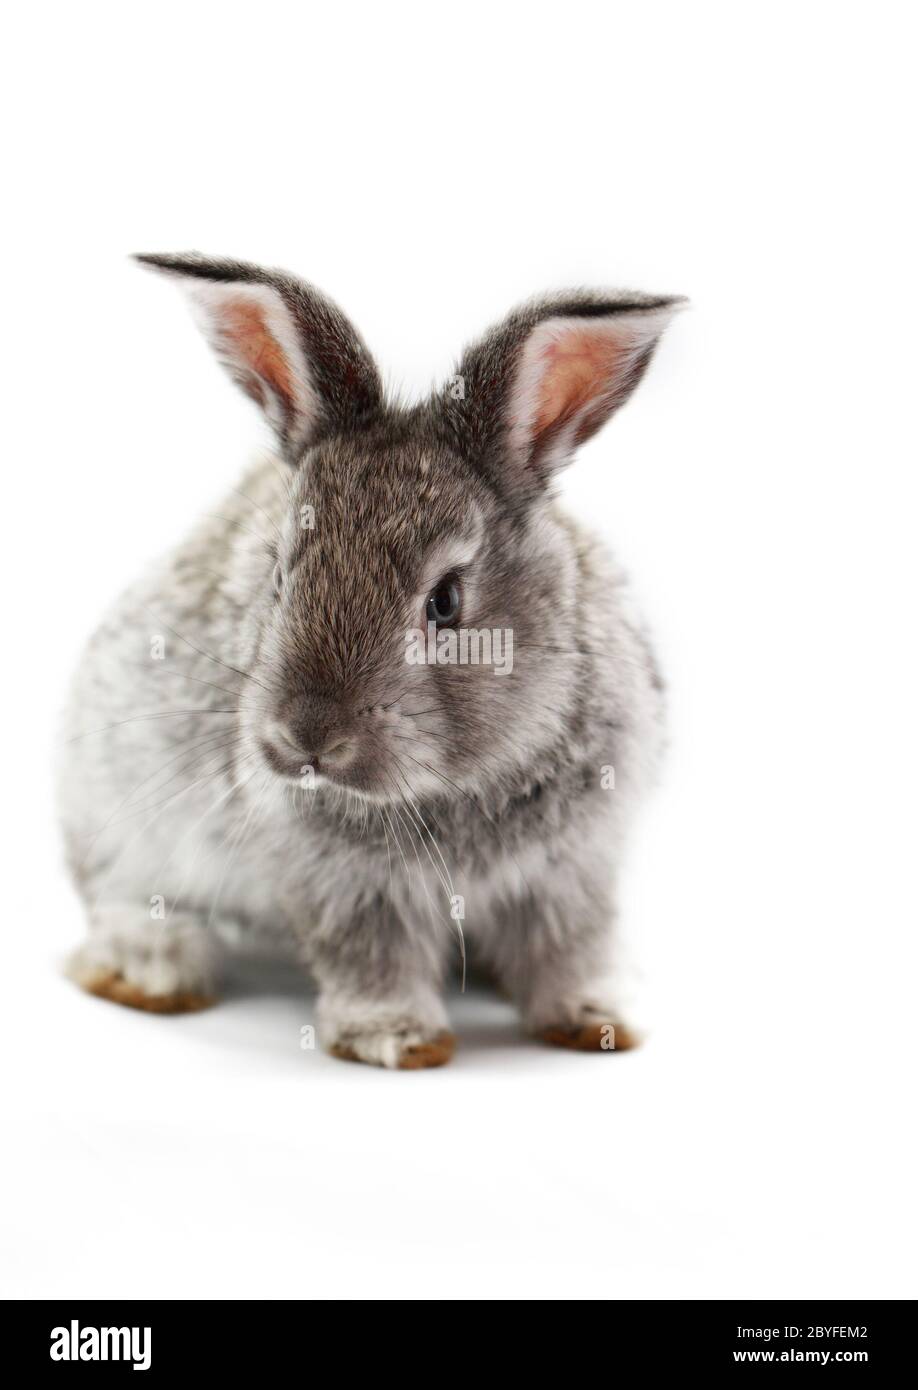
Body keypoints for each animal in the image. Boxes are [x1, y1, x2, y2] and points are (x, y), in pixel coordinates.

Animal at [58, 253, 684, 1069]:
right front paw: (397, 1039)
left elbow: (570, 949)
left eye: (446, 601)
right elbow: (371, 956)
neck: (457, 785)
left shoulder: (573, 872)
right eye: (279, 575)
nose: (305, 739)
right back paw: (152, 966)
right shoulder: (346, 885)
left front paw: (597, 1020)